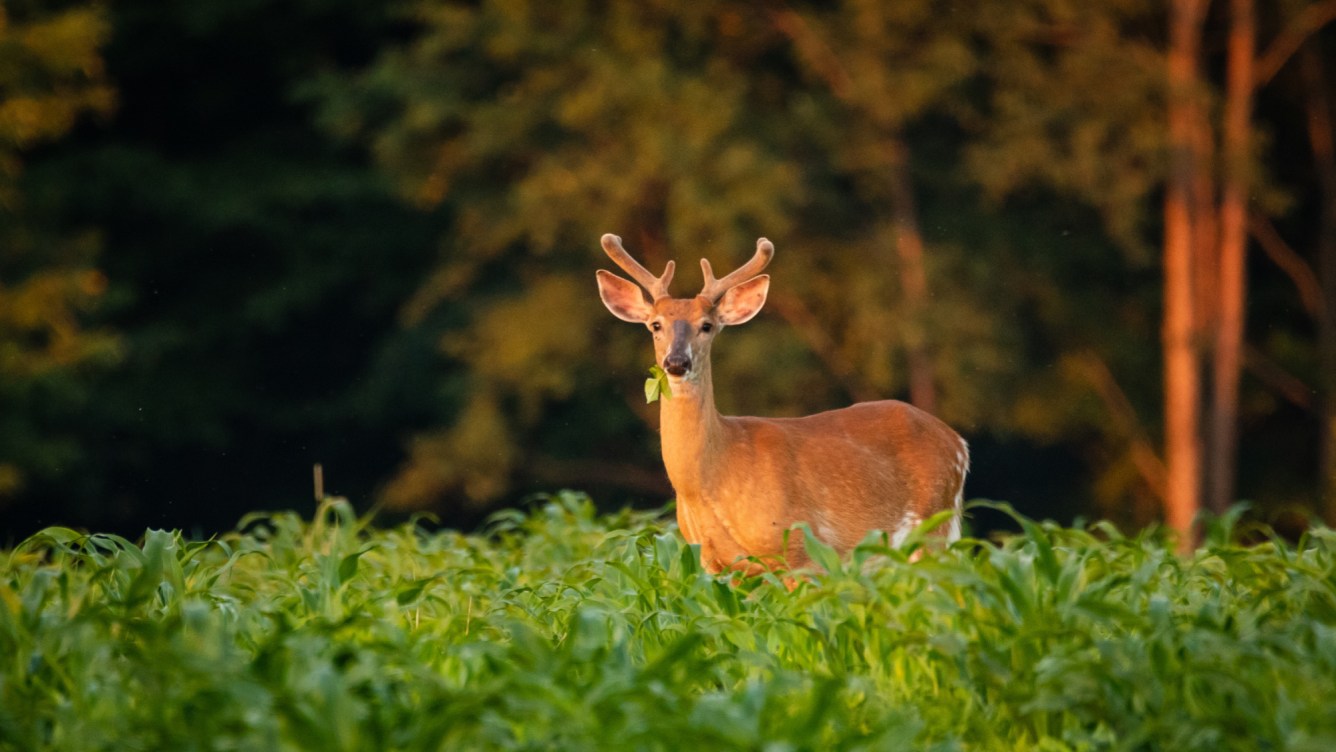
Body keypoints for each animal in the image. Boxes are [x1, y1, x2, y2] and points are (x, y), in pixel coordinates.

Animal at [595, 233, 969, 575]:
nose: (676, 363)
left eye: (707, 325)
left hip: (934, 526)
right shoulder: (715, 565)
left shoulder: (802, 551)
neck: (710, 481)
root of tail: (958, 442)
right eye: (655, 325)